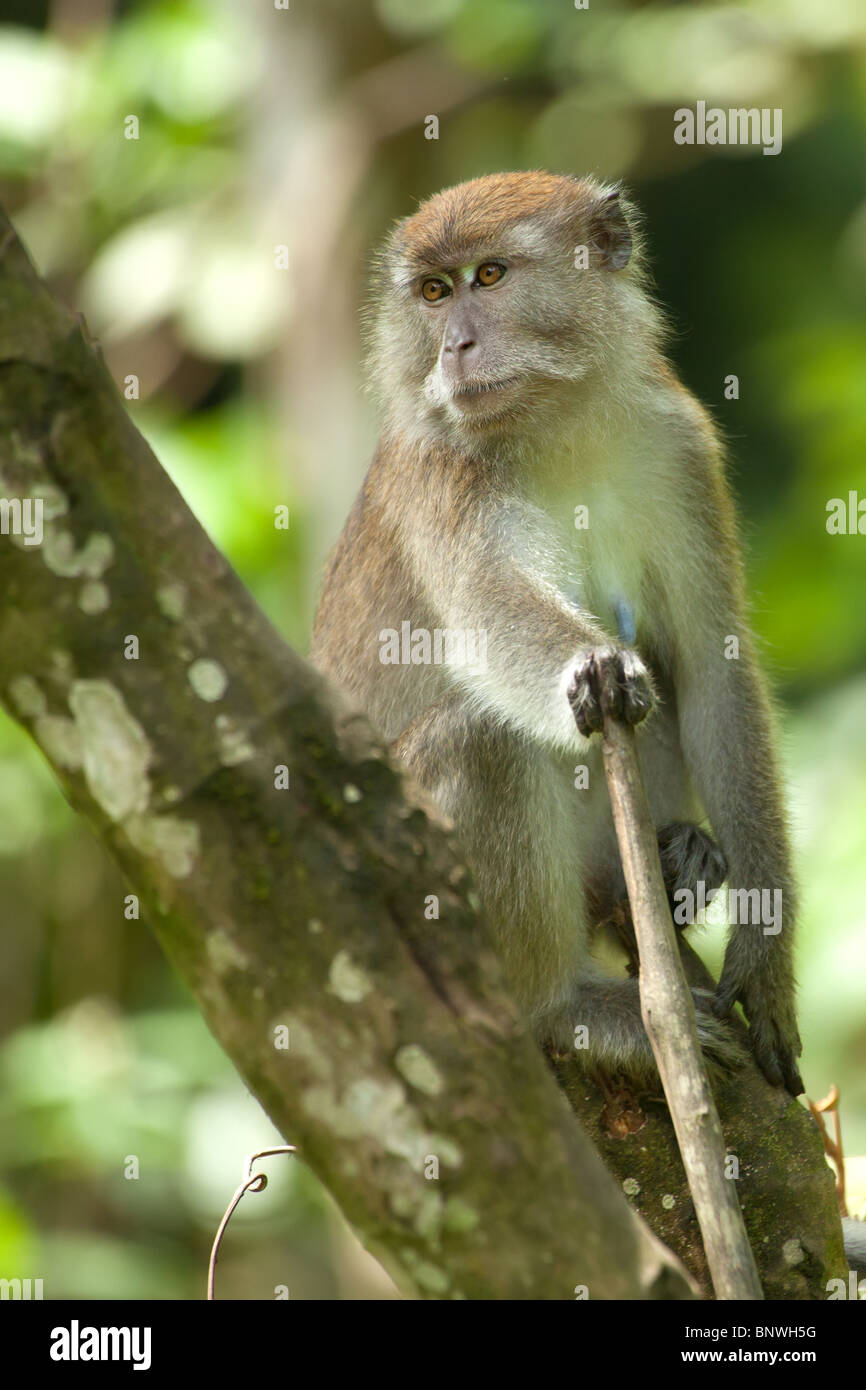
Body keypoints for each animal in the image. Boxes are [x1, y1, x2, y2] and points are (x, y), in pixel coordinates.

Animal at [311, 170, 803, 1095]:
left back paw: (681, 860)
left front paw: (765, 957)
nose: (454, 347)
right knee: (477, 739)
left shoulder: (678, 444)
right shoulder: (442, 472)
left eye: (490, 276)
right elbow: (489, 615)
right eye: (434, 293)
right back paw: (565, 1008)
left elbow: (712, 665)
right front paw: (592, 665)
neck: (556, 420)